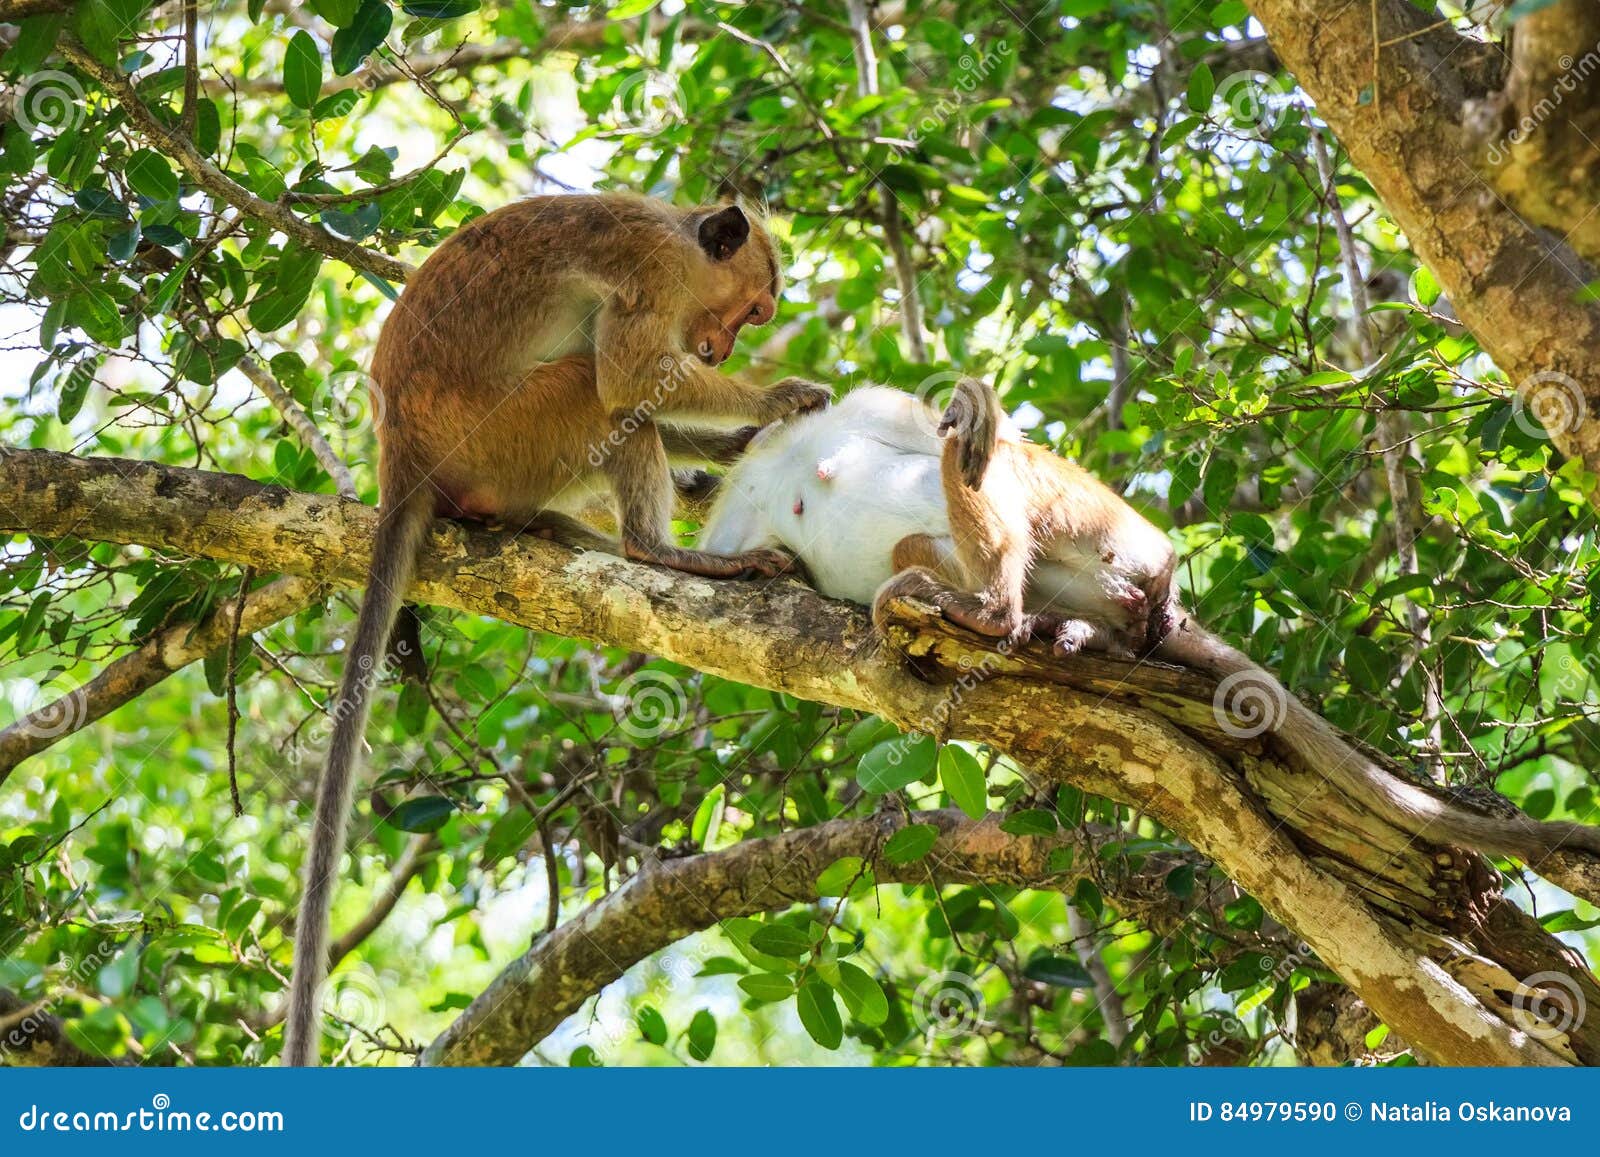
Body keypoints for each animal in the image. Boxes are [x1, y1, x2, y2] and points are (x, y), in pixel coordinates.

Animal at [283, 193, 831, 1066]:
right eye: (750, 311)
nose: (720, 348)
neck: (678, 237)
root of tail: (401, 458)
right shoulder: (649, 275)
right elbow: (632, 378)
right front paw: (771, 401)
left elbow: (643, 387)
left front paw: (732, 444)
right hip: (508, 436)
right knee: (588, 385)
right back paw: (658, 551)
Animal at [700, 379, 1600, 865]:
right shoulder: (740, 512)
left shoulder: (856, 406)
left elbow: (936, 426)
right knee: (929, 544)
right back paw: (1051, 631)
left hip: (1111, 530)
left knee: (983, 458)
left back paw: (992, 601)